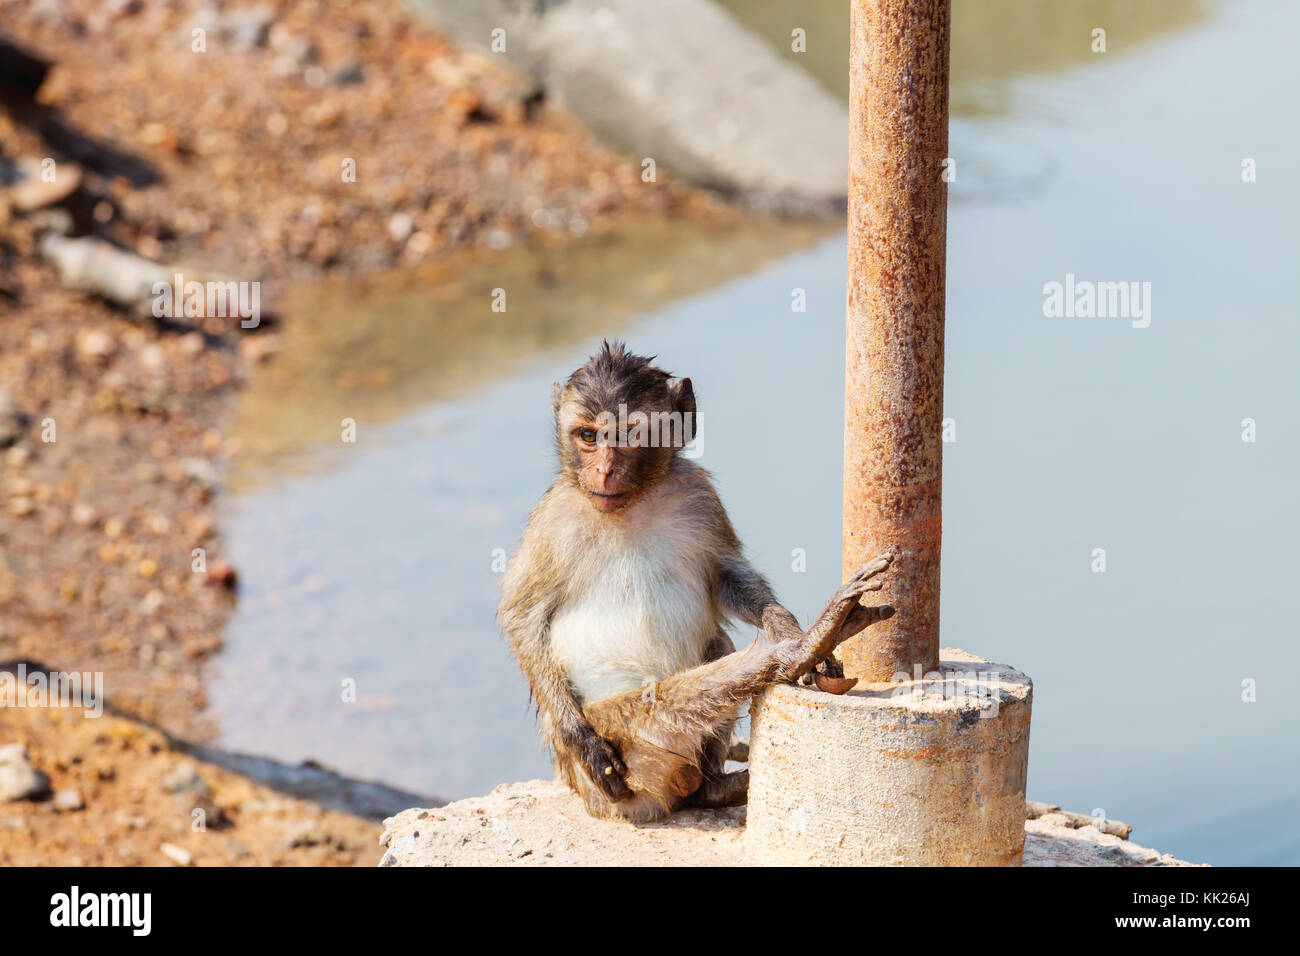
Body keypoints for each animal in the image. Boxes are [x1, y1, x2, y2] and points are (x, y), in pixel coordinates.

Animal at [499, 341, 894, 822]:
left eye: (629, 435)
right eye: (589, 436)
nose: (604, 472)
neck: (633, 504)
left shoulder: (699, 495)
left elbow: (726, 576)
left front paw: (785, 625)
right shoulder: (553, 522)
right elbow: (522, 617)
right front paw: (579, 737)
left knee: (716, 646)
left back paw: (713, 786)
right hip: (624, 749)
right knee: (674, 700)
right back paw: (800, 649)